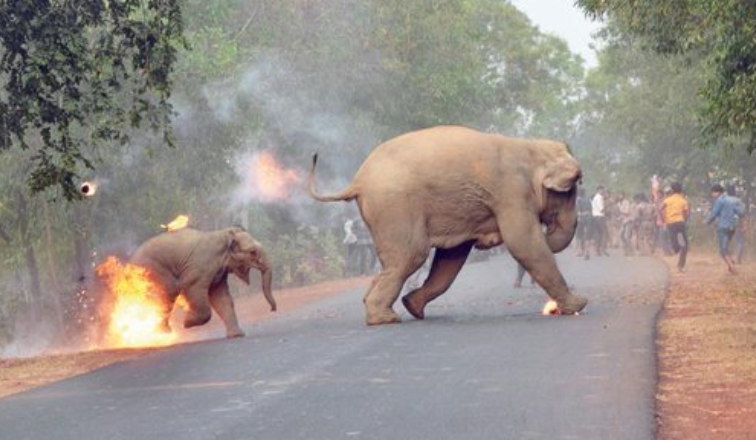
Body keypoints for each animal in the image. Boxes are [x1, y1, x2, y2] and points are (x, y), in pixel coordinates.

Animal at [130, 226, 276, 338]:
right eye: (252, 252)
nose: (272, 309)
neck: (225, 234)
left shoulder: (219, 272)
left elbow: (221, 297)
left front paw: (237, 335)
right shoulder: (201, 265)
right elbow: (191, 287)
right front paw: (186, 323)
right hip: (153, 270)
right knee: (169, 291)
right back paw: (163, 332)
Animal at [309, 125, 587, 325]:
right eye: (570, 191)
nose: (549, 229)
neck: (530, 147)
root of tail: (357, 181)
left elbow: (452, 258)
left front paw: (413, 305)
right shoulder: (512, 192)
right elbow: (523, 242)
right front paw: (579, 305)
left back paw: (394, 310)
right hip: (395, 206)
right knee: (411, 255)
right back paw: (385, 319)